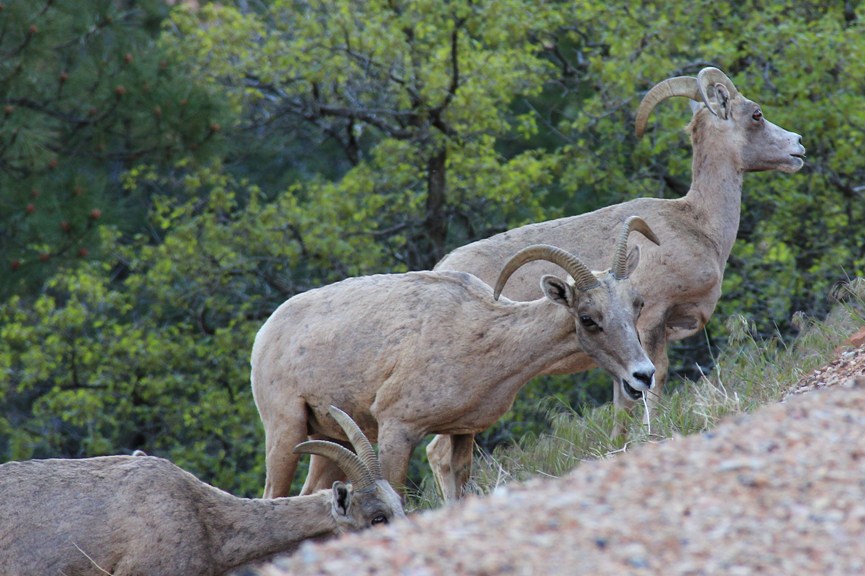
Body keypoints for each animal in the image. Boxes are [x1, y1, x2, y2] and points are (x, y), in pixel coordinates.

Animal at [251, 216, 659, 500]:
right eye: (588, 318)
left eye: (636, 304)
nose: (643, 375)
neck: (480, 335)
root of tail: (265, 335)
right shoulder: (397, 429)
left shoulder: (462, 433)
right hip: (285, 431)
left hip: (330, 441)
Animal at [431, 66, 805, 419]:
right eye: (756, 114)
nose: (798, 144)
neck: (697, 223)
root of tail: (443, 269)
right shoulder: (652, 321)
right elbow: (654, 380)